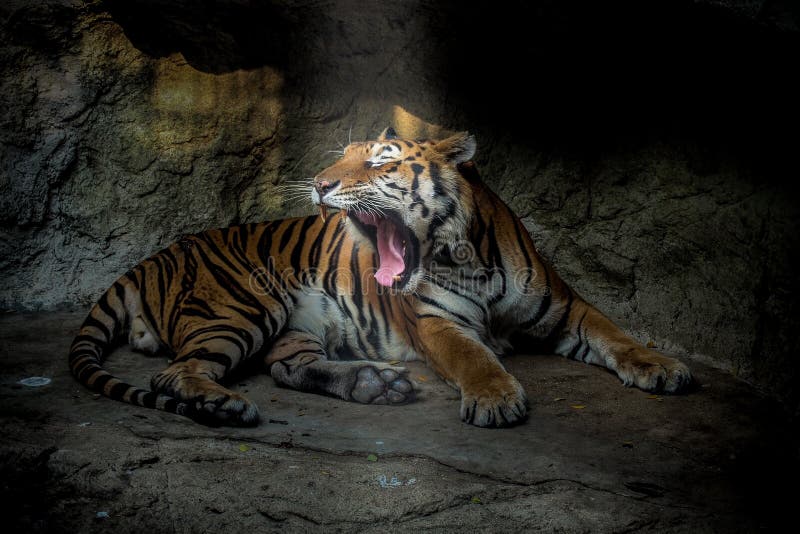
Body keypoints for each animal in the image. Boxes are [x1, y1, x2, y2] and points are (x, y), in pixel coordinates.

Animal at [68, 128, 692, 427]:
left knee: (285, 368)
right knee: (174, 375)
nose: (319, 185)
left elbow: (616, 335)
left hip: (294, 328)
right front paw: (495, 399)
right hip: (243, 306)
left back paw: (375, 384)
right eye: (342, 158)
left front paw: (662, 367)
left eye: (379, 160)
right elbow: (475, 358)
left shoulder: (564, 306)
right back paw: (226, 407)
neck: (468, 252)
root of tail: (154, 256)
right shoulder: (437, 324)